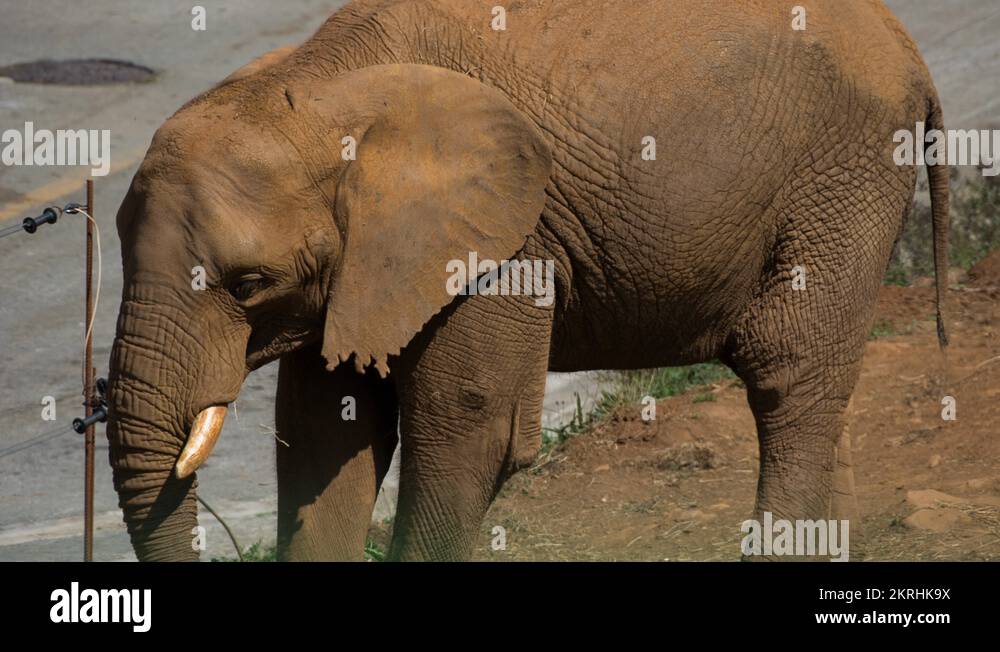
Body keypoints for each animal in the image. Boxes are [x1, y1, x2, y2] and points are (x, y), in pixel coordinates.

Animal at [106, 0, 949, 561]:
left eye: (248, 282)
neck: (320, 85)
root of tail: (909, 48)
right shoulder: (354, 270)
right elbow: (325, 431)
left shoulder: (505, 244)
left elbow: (470, 426)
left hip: (844, 175)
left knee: (788, 373)